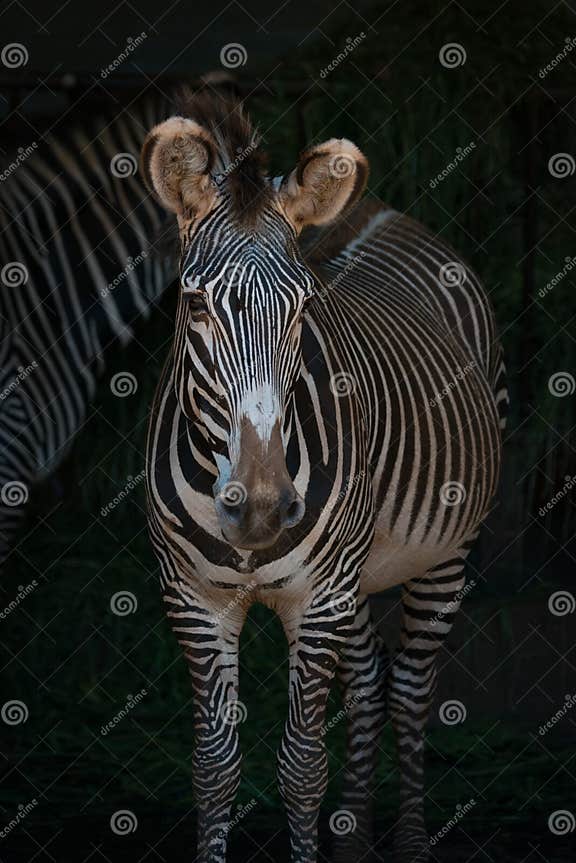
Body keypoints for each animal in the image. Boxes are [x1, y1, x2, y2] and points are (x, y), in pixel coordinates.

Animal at [142, 88, 507, 863]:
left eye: (306, 307)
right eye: (193, 304)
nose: (259, 509)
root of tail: (378, 209)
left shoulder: (319, 600)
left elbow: (303, 765)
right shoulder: (193, 601)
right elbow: (215, 767)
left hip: (440, 555)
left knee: (409, 686)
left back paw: (409, 839)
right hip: (360, 575)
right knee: (367, 681)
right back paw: (355, 836)